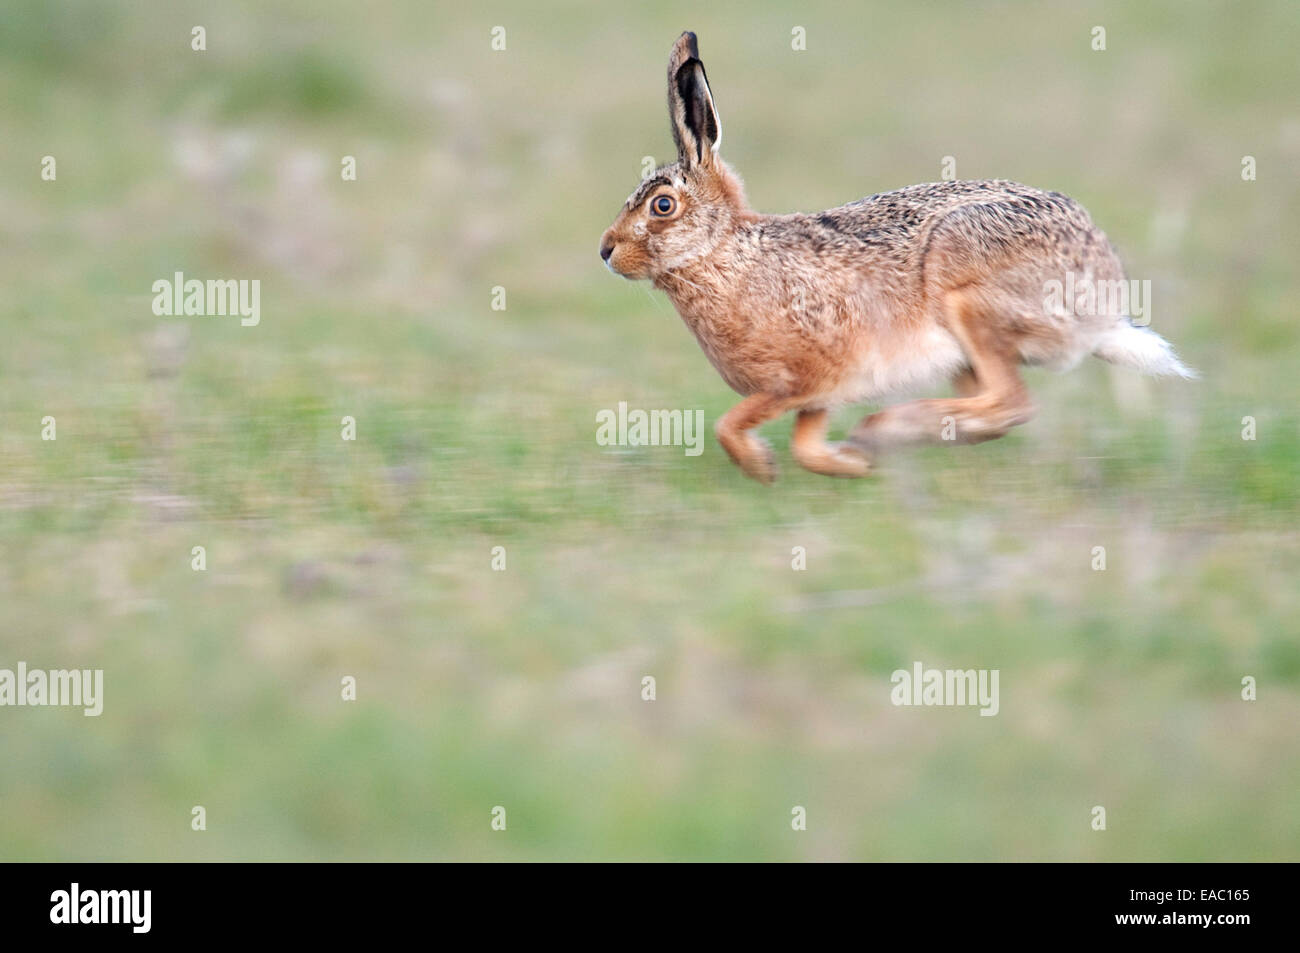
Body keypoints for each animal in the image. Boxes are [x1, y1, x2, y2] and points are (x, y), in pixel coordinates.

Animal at [599, 32, 1195, 483]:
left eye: (662, 205)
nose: (606, 251)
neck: (723, 253)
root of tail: (1106, 297)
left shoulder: (796, 379)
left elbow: (733, 424)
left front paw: (764, 467)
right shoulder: (821, 390)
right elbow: (805, 445)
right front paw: (848, 465)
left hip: (970, 300)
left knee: (1011, 402)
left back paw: (883, 429)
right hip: (965, 351)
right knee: (993, 407)